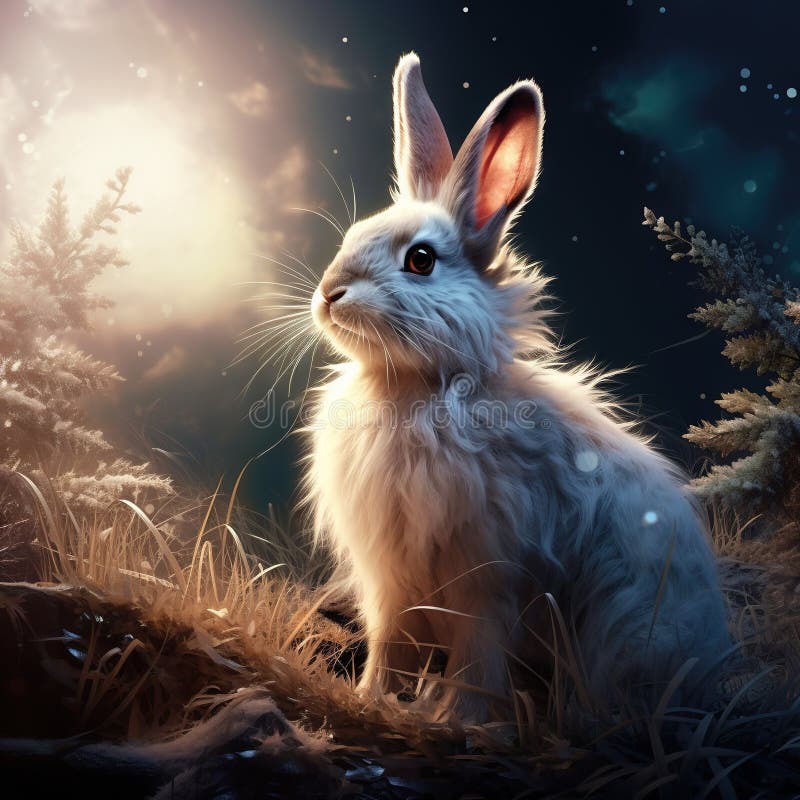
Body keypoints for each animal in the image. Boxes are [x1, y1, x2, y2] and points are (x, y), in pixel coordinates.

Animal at [303, 52, 730, 722]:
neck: (420, 387)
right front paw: (371, 699)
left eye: (420, 260)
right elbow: (387, 645)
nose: (329, 293)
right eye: (352, 234)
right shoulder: (391, 585)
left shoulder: (487, 580)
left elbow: (477, 658)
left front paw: (455, 720)